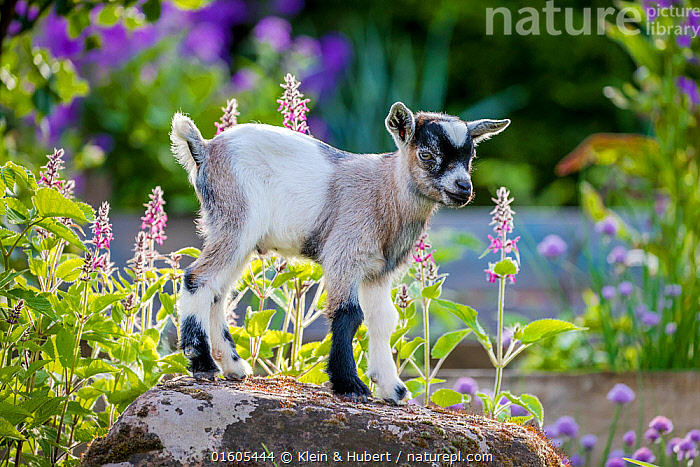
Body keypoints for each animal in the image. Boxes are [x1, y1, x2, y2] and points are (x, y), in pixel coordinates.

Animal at [170, 102, 509, 403]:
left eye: (470, 156)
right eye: (426, 154)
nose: (463, 188)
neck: (384, 192)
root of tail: (206, 149)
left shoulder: (378, 272)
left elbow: (383, 319)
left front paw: (392, 389)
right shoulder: (344, 255)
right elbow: (349, 314)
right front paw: (350, 385)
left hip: (239, 236)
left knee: (218, 292)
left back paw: (233, 367)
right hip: (236, 221)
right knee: (198, 278)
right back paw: (202, 364)